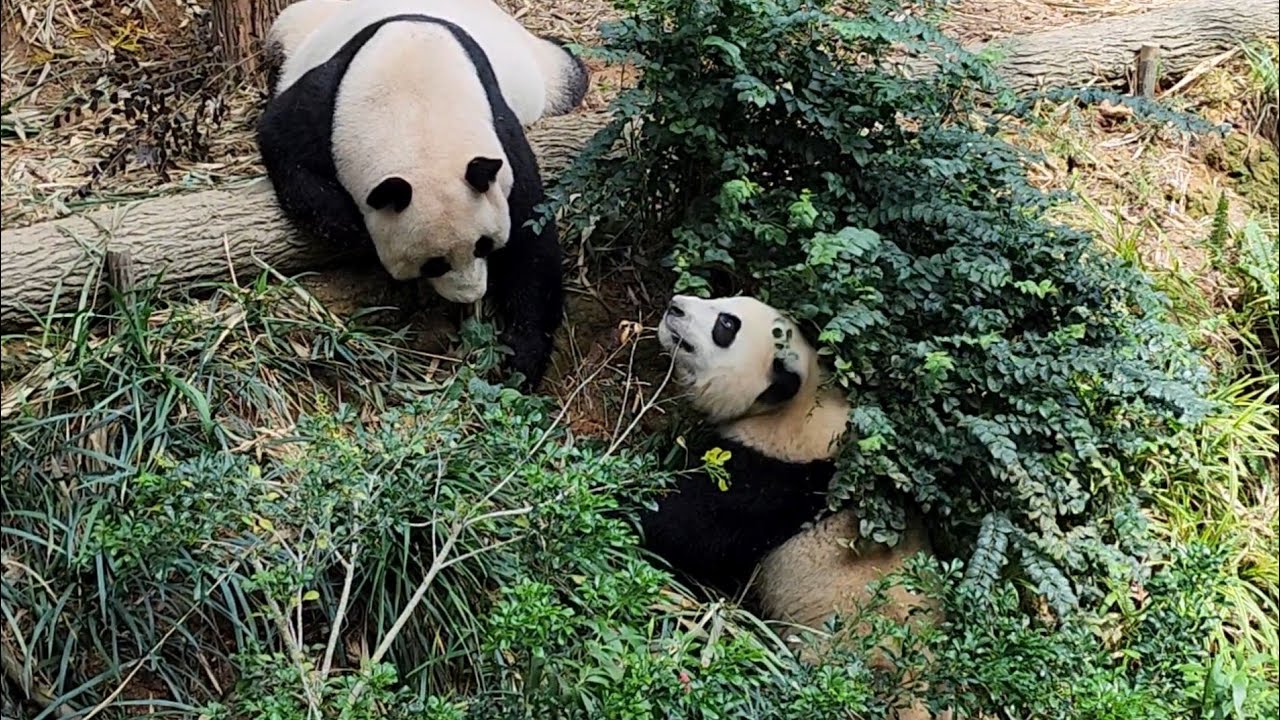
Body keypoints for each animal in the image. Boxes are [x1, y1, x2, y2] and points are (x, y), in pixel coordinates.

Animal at [256, 0, 589, 390]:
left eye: (484, 245)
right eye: (434, 263)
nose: (471, 294)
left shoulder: (501, 141)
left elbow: (530, 237)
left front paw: (521, 358)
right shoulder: (329, 101)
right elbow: (282, 142)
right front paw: (352, 227)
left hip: (541, 71)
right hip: (294, 33)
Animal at [641, 294, 947, 719]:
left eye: (726, 325)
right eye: (722, 300)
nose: (676, 305)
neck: (797, 407)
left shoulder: (773, 478)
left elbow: (683, 529)